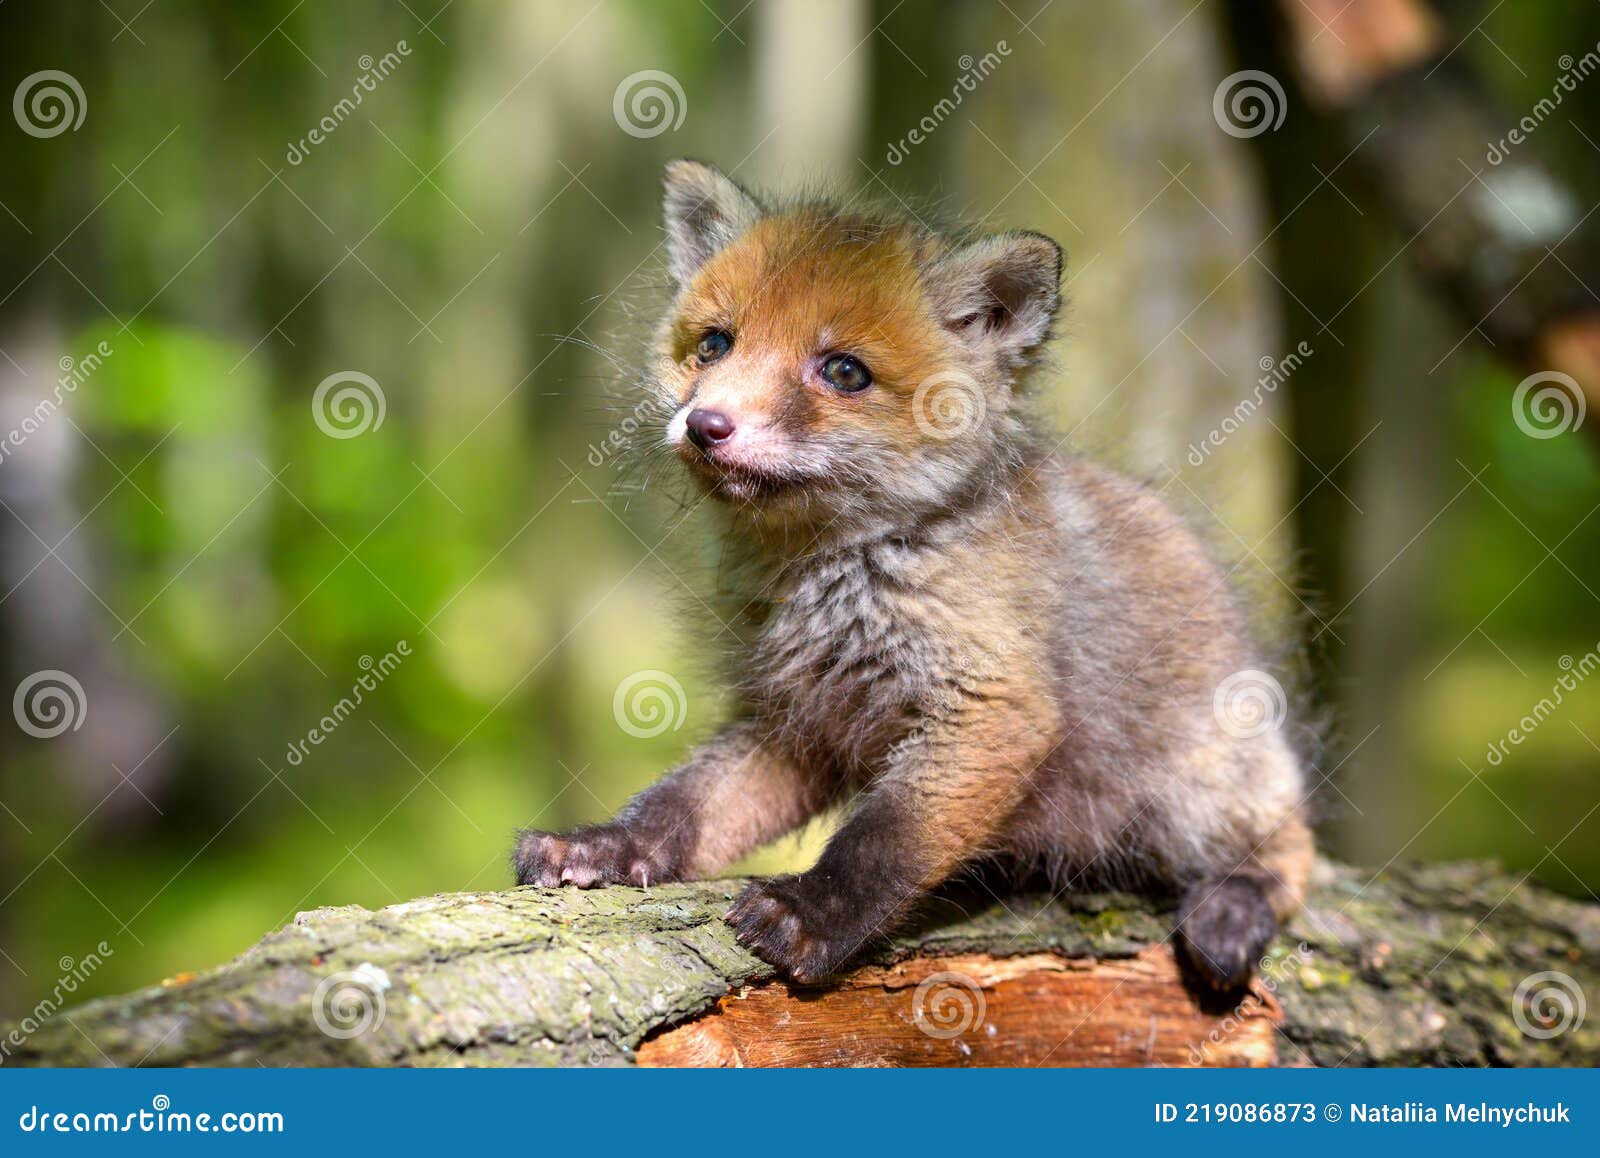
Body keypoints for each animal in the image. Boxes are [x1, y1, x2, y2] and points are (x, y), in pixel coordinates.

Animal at [514, 159, 1314, 989]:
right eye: (714, 344)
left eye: (843, 371)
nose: (706, 426)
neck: (831, 575)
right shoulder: (794, 724)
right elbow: (687, 804)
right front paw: (605, 847)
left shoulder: (991, 707)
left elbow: (883, 839)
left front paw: (811, 915)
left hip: (1199, 794)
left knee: (1296, 849)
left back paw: (1233, 905)